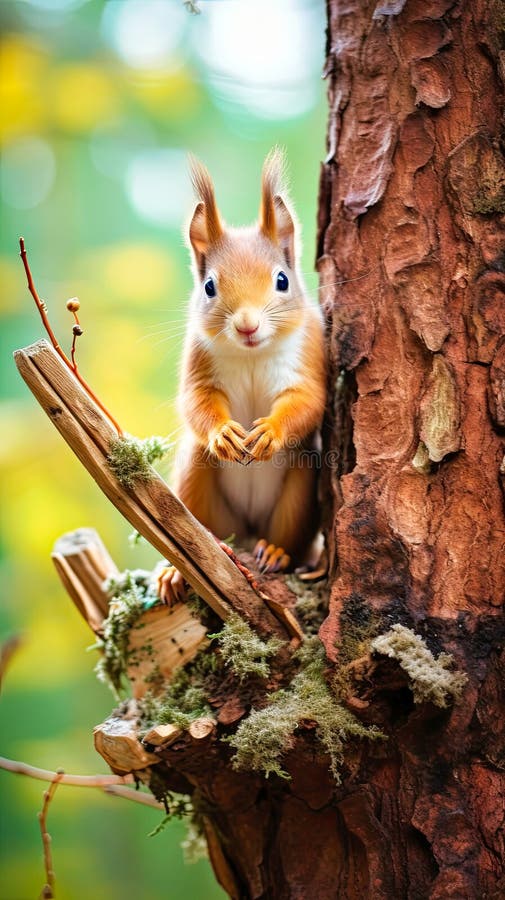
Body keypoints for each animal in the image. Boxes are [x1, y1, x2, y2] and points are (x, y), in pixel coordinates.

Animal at [158, 149, 326, 604]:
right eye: (209, 286)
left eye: (282, 280)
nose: (247, 326)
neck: (252, 354)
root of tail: (248, 534)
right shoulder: (198, 359)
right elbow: (195, 400)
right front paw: (224, 434)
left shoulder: (310, 352)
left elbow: (308, 400)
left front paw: (268, 431)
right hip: (198, 480)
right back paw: (176, 571)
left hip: (301, 487)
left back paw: (276, 553)